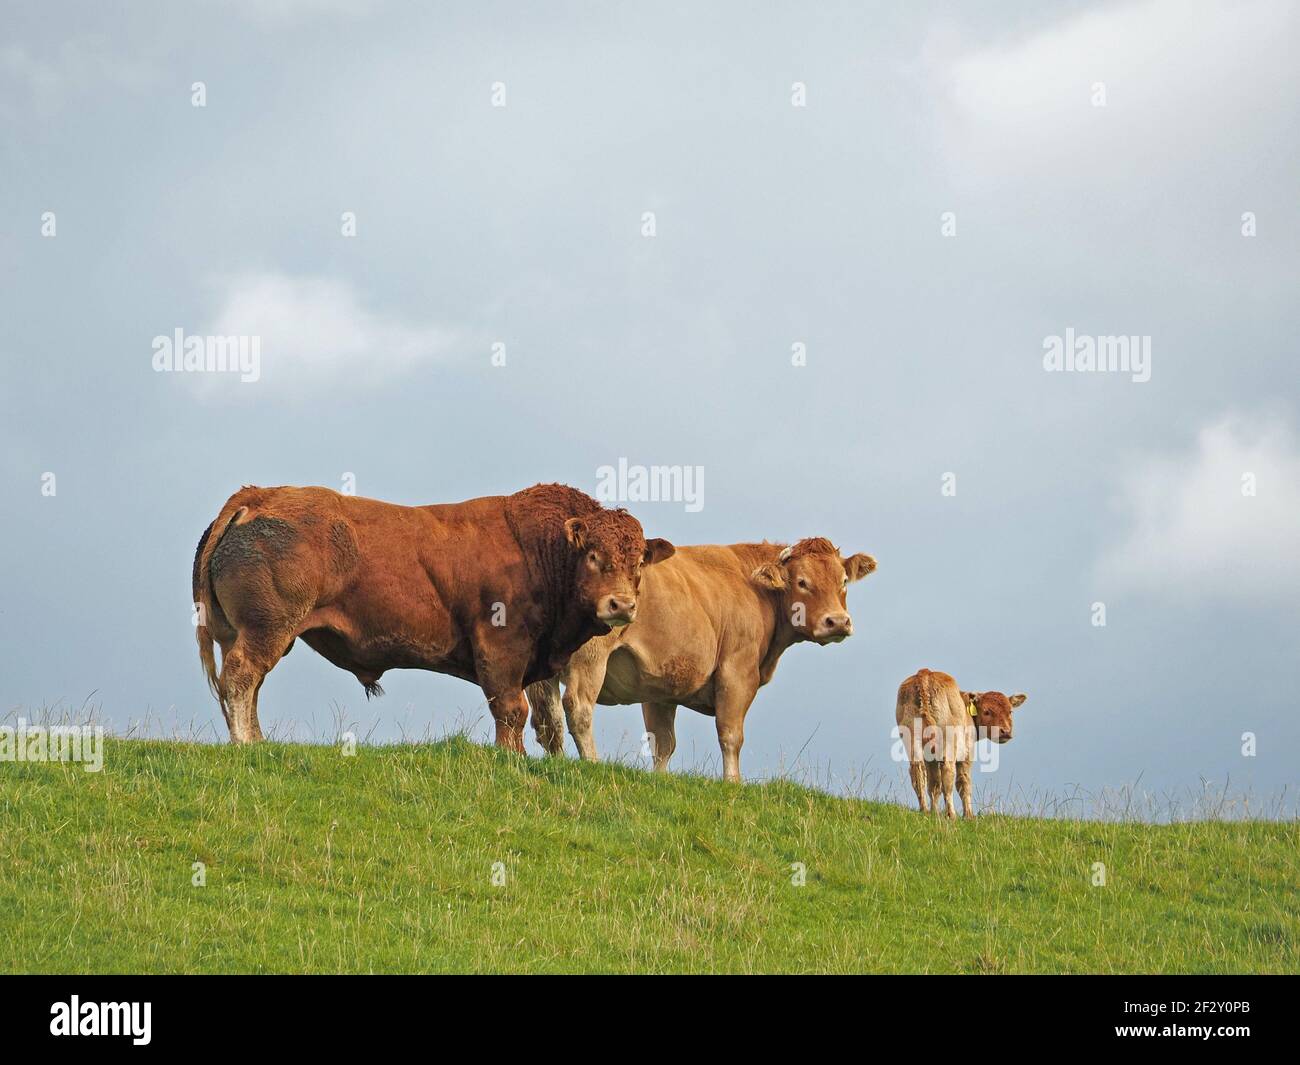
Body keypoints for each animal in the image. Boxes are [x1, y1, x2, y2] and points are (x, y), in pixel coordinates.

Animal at [193, 483, 674, 748]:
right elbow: (511, 710)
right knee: (241, 678)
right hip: (266, 631)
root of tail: (257, 497)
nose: (621, 605)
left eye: (638, 562)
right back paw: (247, 744)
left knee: (248, 685)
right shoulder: (501, 650)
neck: (539, 549)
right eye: (593, 555)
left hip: (250, 633)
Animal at [526, 537, 877, 782]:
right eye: (801, 582)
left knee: (548, 718)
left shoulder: (659, 687)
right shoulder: (737, 673)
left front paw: (660, 780)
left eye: (843, 581)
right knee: (578, 709)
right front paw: (732, 783)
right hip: (590, 659)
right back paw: (592, 763)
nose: (837, 621)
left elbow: (662, 742)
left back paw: (558, 763)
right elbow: (731, 735)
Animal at [894, 668, 1028, 819]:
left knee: (918, 771)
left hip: (912, 738)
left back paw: (925, 810)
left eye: (1010, 711)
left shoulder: (931, 758)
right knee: (948, 772)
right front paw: (968, 816)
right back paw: (951, 814)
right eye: (987, 711)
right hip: (948, 741)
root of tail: (924, 674)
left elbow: (934, 784)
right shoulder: (967, 753)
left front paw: (935, 813)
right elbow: (964, 782)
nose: (1005, 731)